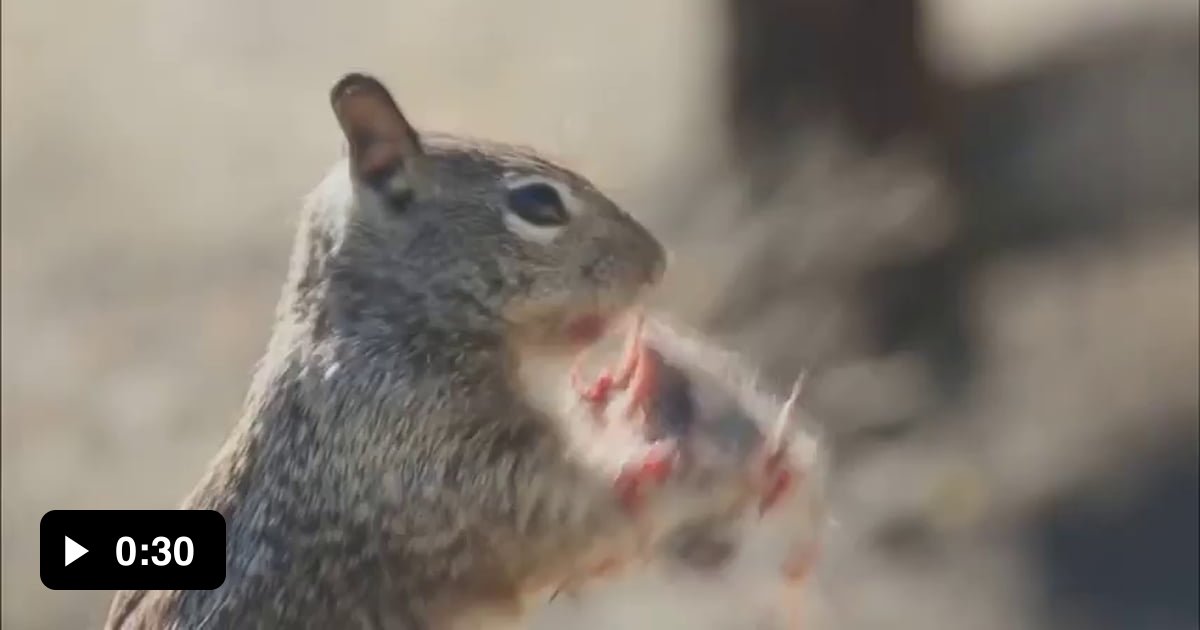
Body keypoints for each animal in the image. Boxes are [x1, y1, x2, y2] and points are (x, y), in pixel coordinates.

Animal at [105, 72, 796, 629]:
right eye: (538, 203)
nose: (657, 261)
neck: (392, 323)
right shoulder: (435, 458)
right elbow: (575, 522)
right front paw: (703, 472)